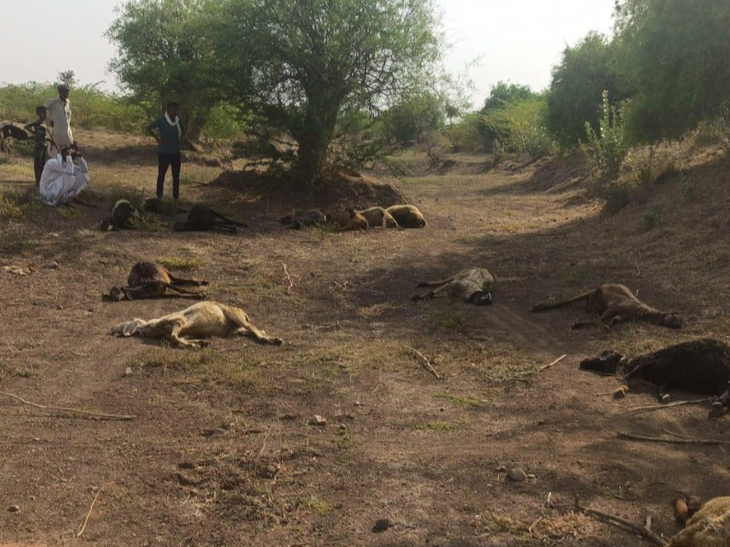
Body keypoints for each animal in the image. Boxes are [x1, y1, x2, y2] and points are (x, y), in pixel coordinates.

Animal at [111, 301, 283, 349]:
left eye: (123, 323)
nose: (111, 328)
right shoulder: (185, 330)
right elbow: (177, 338)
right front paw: (199, 342)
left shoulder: (179, 321)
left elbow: (174, 337)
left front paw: (195, 345)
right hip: (234, 328)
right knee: (254, 329)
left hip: (235, 315)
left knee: (253, 328)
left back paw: (272, 340)